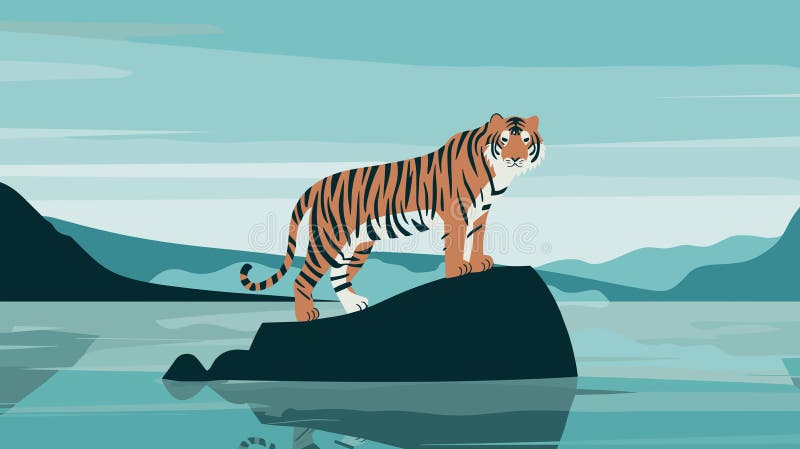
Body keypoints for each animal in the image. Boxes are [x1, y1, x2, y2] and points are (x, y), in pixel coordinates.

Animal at [240, 113, 545, 321]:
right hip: (330, 237)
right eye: (504, 140)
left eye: (525, 140)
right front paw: (459, 269)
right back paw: (306, 316)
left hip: (357, 243)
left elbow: (476, 237)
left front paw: (480, 263)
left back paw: (354, 306)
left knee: (338, 275)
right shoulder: (456, 212)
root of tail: (318, 184)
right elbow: (457, 244)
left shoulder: (481, 212)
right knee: (304, 278)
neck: (496, 173)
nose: (515, 159)